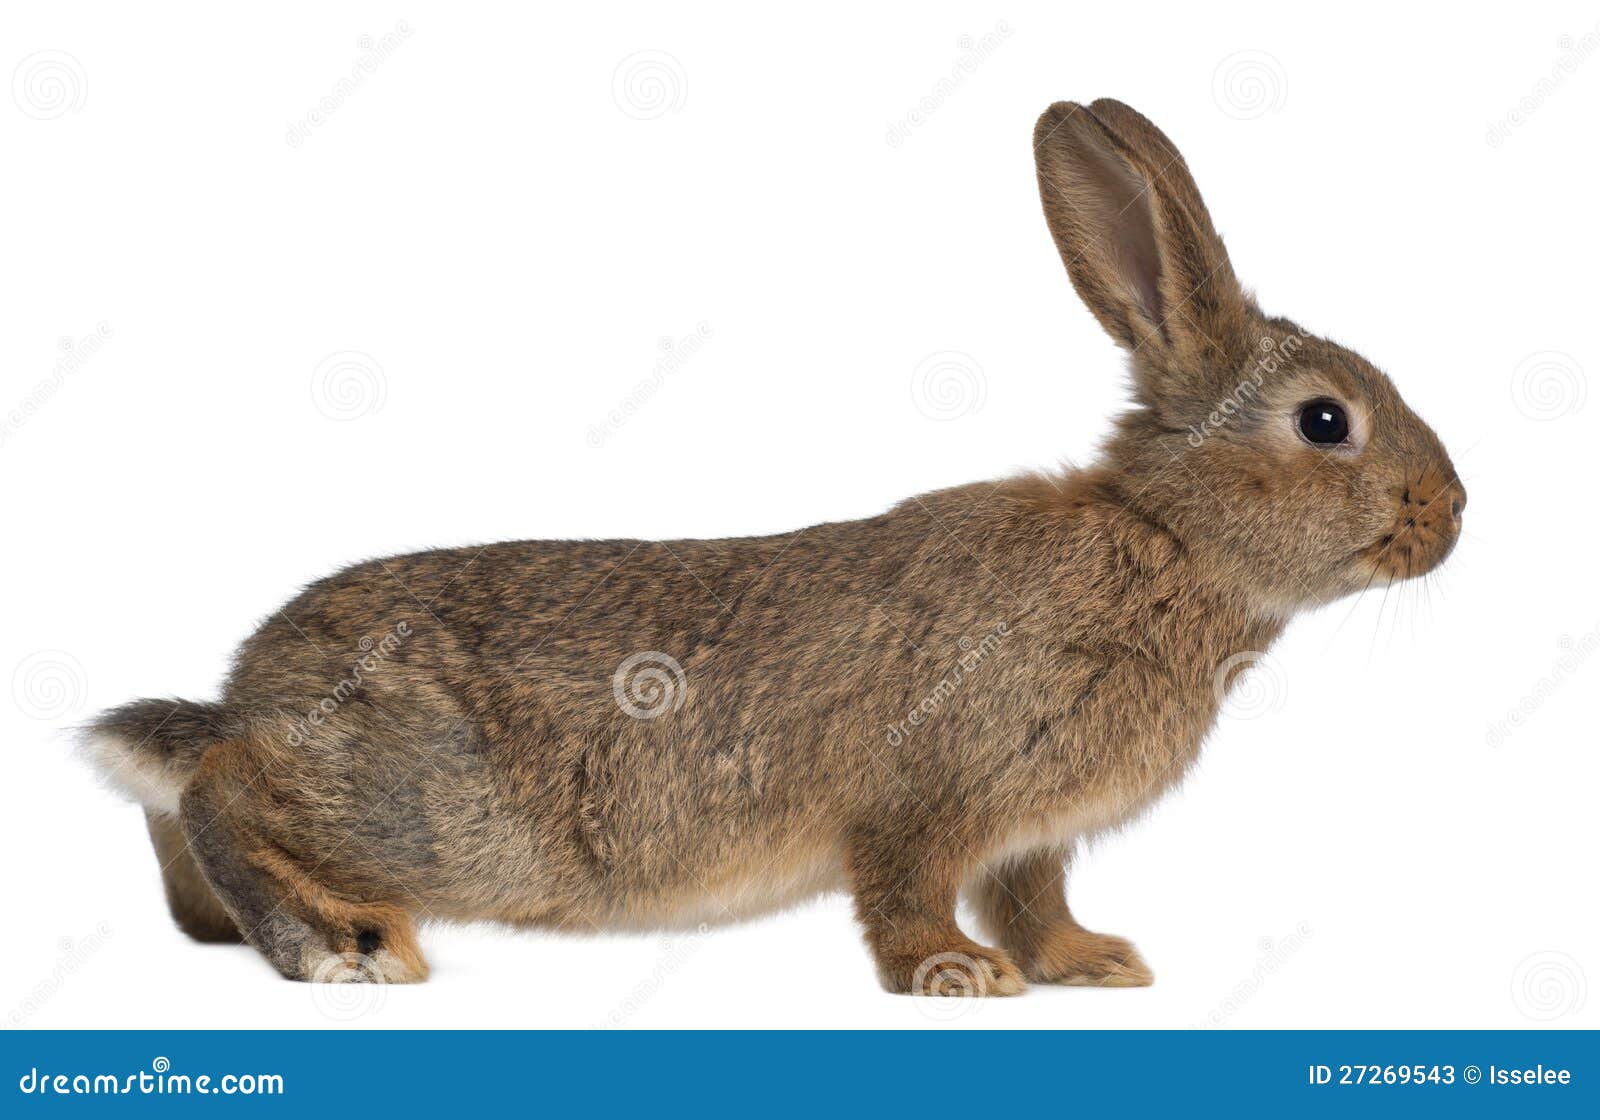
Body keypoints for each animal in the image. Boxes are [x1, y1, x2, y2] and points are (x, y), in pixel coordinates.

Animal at [82, 98, 1465, 995]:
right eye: (1326, 421)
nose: (1452, 512)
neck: (1164, 539)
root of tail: (251, 689)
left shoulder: (1033, 833)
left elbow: (1037, 900)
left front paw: (1092, 965)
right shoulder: (929, 791)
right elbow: (908, 889)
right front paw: (956, 975)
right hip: (430, 809)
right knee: (219, 791)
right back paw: (344, 946)